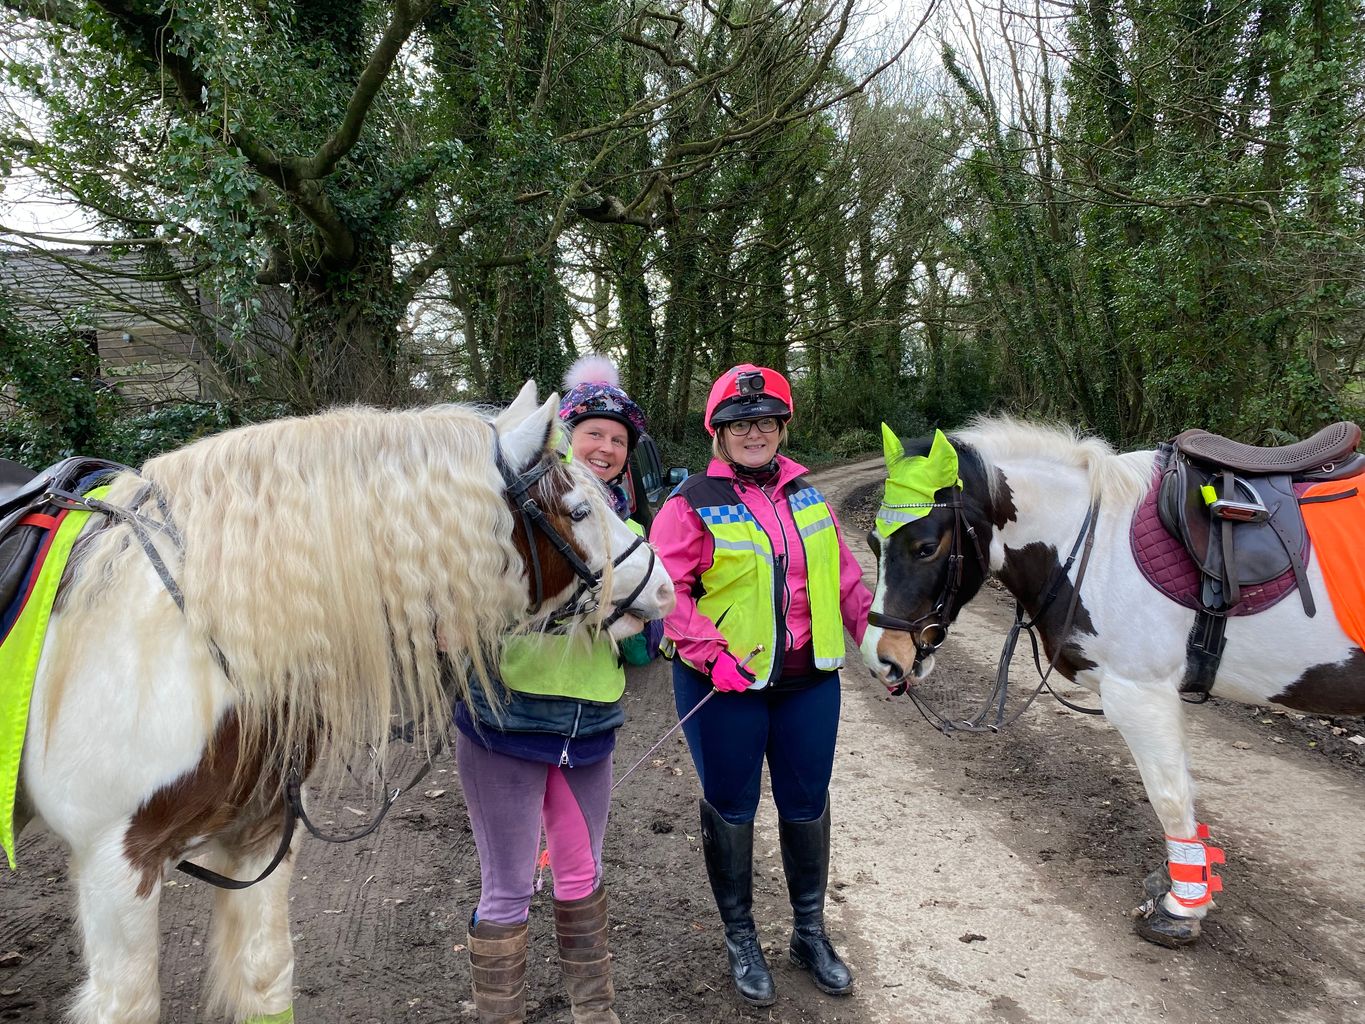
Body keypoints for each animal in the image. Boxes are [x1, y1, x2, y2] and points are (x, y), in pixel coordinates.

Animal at [8, 382, 674, 1024]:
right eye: (579, 509)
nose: (662, 585)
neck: (189, 633)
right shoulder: (115, 866)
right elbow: (129, 1003)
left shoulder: (261, 836)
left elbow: (265, 979)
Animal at [859, 417, 1364, 948]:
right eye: (874, 543)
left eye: (925, 547)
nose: (880, 658)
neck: (1095, 544)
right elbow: (1181, 789)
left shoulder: (1140, 695)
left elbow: (1169, 796)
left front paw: (1182, 907)